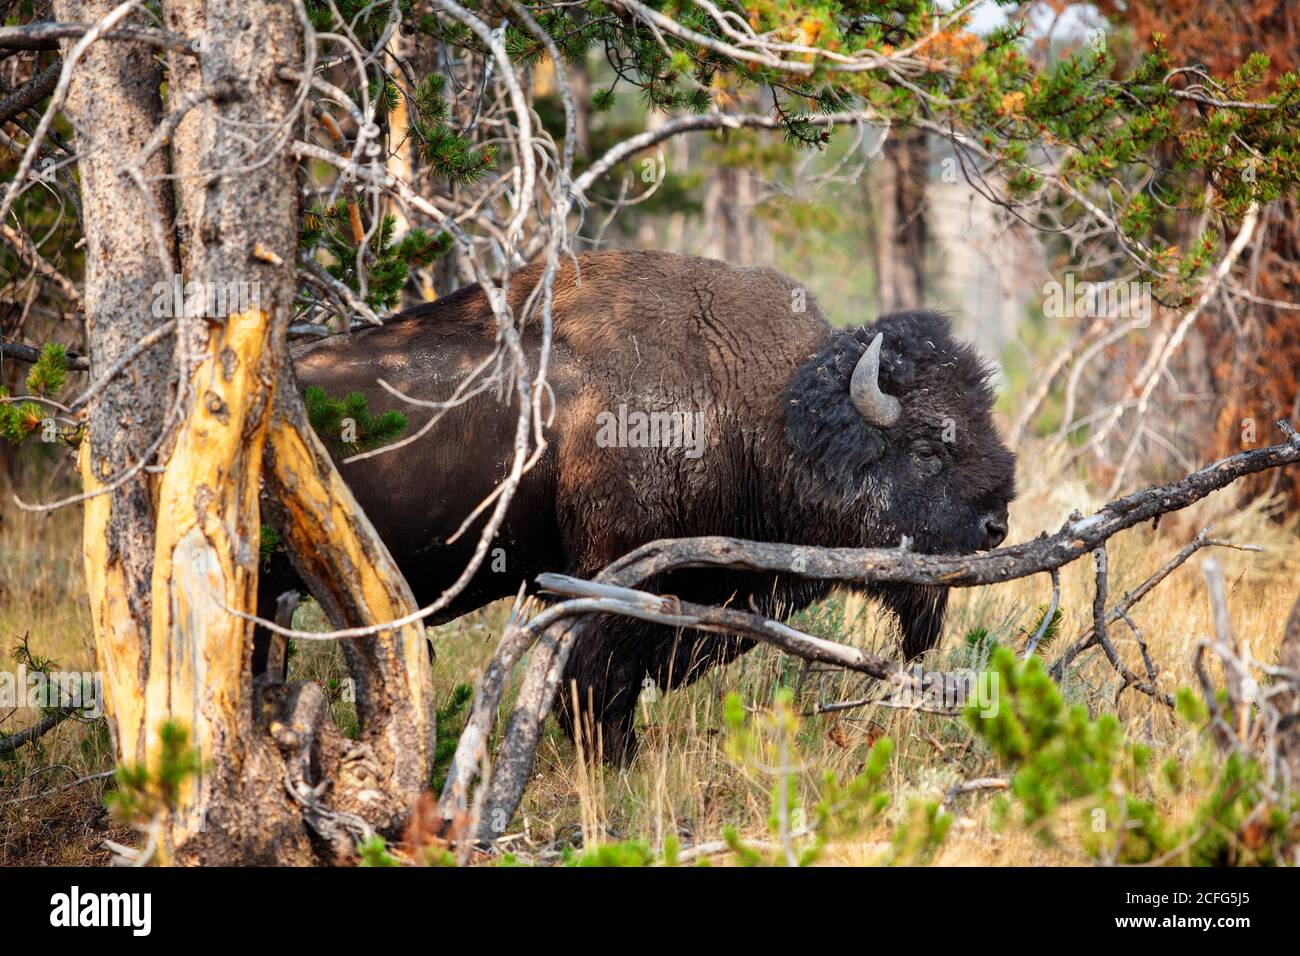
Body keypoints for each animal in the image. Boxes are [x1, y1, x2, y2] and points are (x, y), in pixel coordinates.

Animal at [260, 250, 1017, 761]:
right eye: (928, 450)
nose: (995, 525)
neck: (764, 411)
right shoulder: (613, 577)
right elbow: (600, 680)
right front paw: (611, 760)